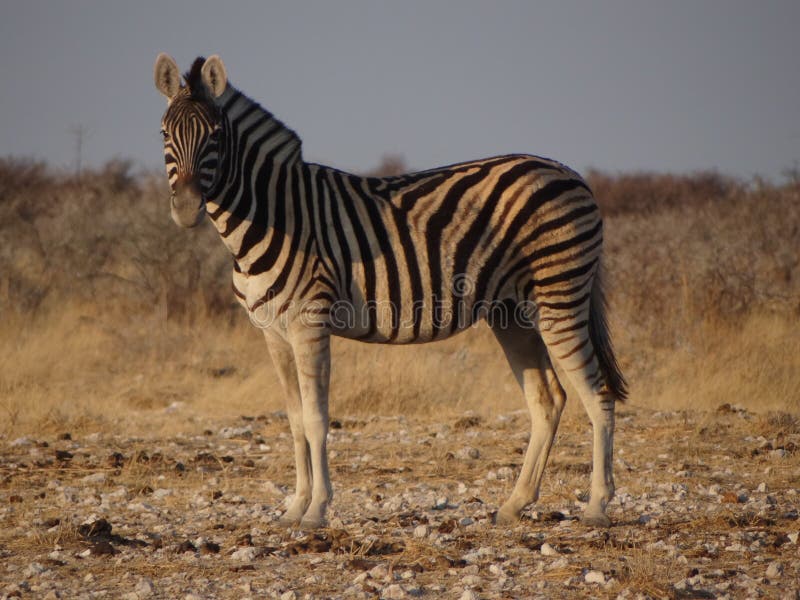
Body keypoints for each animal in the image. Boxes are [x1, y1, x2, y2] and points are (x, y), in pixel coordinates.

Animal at [153, 53, 627, 530]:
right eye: (164, 134)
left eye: (215, 135)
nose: (187, 209)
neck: (273, 215)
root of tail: (570, 172)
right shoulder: (272, 331)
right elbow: (294, 420)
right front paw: (294, 507)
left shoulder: (309, 323)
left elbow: (316, 418)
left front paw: (317, 509)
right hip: (510, 313)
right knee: (548, 400)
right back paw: (514, 504)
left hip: (559, 296)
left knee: (598, 396)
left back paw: (597, 506)